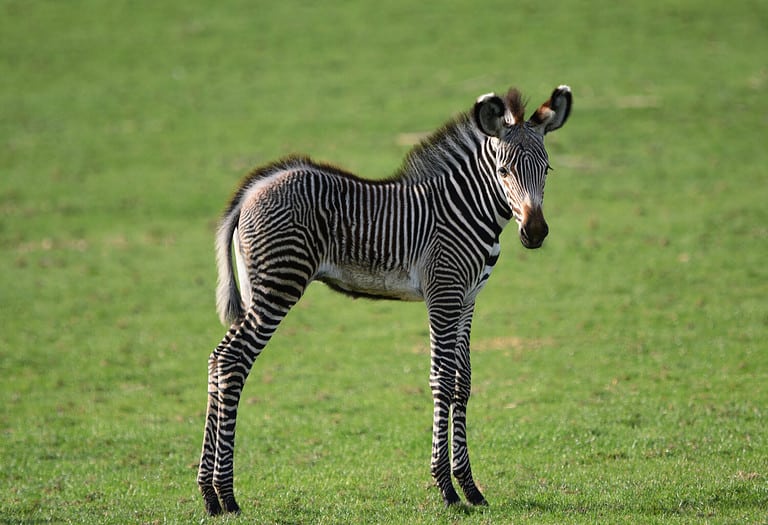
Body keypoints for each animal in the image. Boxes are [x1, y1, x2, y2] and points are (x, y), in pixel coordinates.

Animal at [197, 85, 572, 515]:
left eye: (546, 170)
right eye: (503, 171)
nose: (535, 233)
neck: (465, 209)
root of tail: (251, 192)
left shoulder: (468, 299)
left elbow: (463, 383)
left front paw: (471, 488)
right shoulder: (443, 294)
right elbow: (442, 380)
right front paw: (446, 488)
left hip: (262, 289)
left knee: (218, 360)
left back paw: (209, 494)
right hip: (278, 285)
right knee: (232, 361)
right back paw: (226, 495)